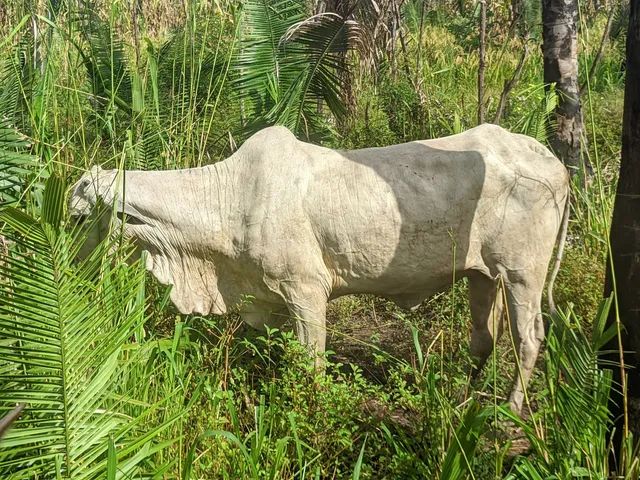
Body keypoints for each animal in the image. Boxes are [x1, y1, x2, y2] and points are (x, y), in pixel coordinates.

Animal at [69, 124, 570, 413]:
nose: (70, 267)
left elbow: (311, 366)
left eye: (78, 217)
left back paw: (509, 411)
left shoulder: (306, 292)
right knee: (484, 338)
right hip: (482, 275)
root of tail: (553, 161)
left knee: (529, 338)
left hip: (523, 273)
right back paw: (465, 401)